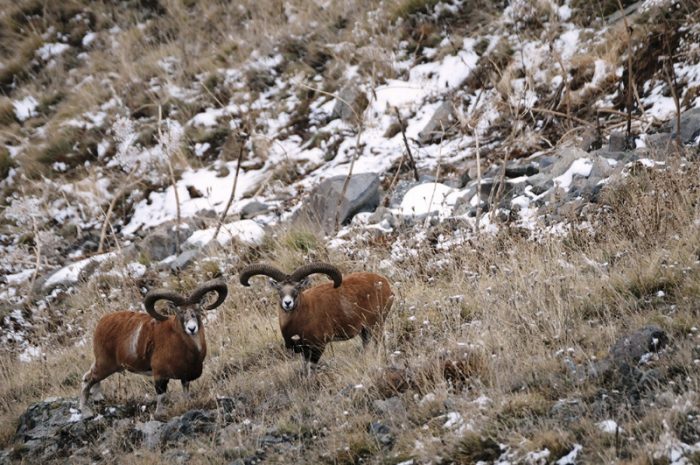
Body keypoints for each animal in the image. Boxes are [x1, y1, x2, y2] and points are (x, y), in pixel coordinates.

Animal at [79, 279, 228, 417]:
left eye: (198, 309)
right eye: (180, 312)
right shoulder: (160, 376)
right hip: (106, 365)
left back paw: (98, 398)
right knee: (88, 379)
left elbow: (186, 392)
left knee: (89, 376)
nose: (192, 328)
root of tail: (102, 323)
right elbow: (161, 397)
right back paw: (86, 412)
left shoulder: (185, 377)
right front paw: (160, 414)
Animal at [239, 262, 393, 372]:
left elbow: (311, 368)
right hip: (365, 330)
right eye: (279, 289)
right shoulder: (304, 350)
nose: (287, 303)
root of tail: (384, 283)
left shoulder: (318, 346)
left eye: (297, 288)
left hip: (376, 324)